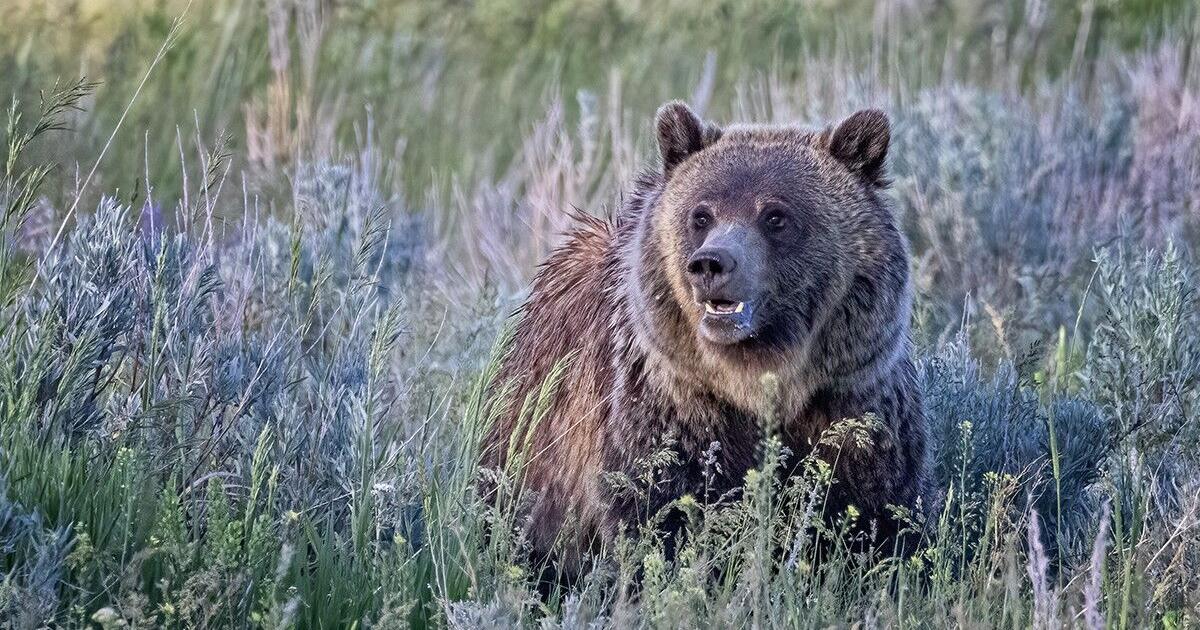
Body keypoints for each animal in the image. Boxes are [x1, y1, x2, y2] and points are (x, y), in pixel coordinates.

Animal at [479, 101, 929, 577]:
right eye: (701, 215)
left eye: (775, 215)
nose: (711, 263)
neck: (761, 379)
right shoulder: (670, 413)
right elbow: (659, 514)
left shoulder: (856, 407)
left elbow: (879, 514)